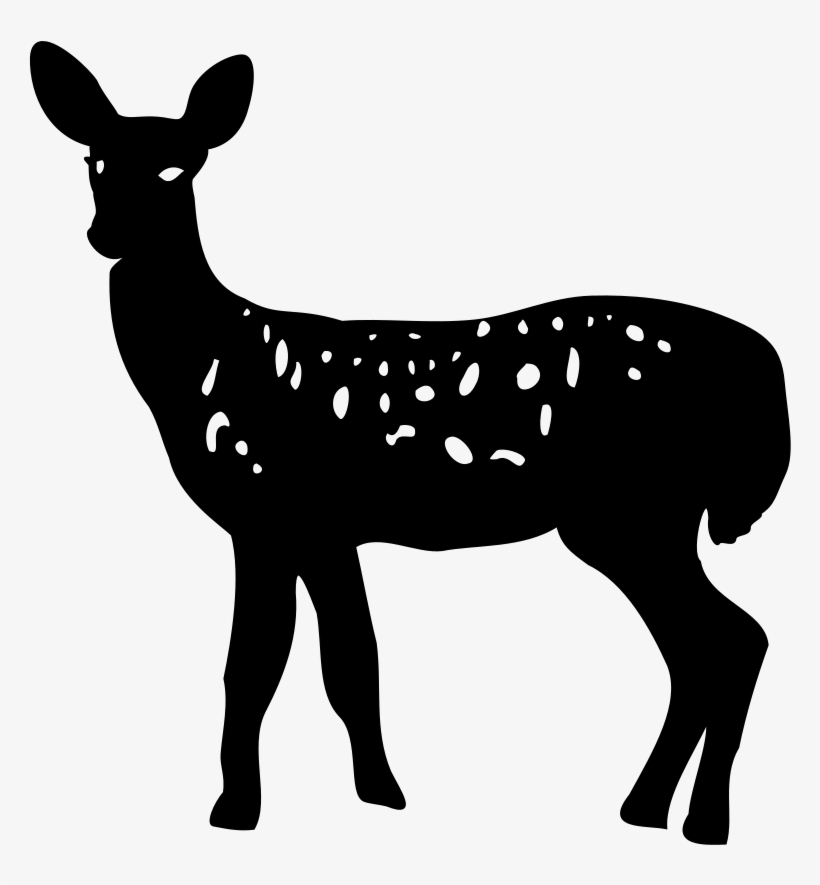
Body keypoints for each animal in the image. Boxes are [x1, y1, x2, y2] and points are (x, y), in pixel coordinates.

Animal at [30, 41, 790, 845]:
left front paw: (243, 809)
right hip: (637, 520)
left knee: (732, 640)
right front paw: (371, 792)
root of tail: (765, 373)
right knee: (709, 648)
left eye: (181, 166)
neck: (210, 358)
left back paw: (700, 822)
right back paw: (647, 810)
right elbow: (341, 662)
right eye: (93, 158)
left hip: (634, 510)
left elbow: (271, 663)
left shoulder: (276, 509)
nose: (107, 236)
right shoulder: (311, 529)